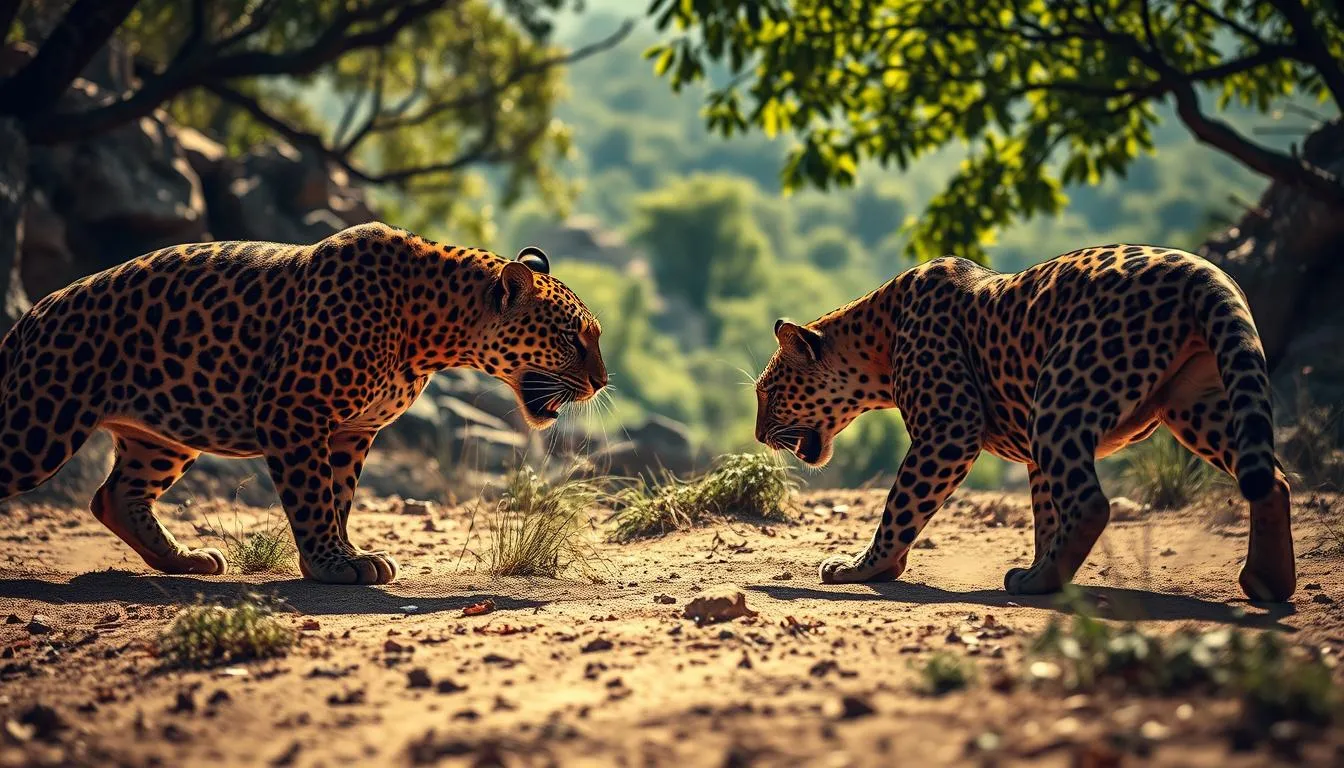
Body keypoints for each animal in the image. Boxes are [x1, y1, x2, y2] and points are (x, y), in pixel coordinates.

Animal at [0, 221, 607, 585]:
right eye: (574, 337)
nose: (602, 382)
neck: (432, 328)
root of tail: (29, 314)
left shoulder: (351, 431)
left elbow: (337, 495)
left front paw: (340, 556)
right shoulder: (293, 410)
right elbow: (312, 495)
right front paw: (331, 562)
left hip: (164, 434)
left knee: (114, 496)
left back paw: (184, 559)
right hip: (38, 427)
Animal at [754, 244, 1295, 602]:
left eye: (769, 393)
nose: (758, 435)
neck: (876, 339)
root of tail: (1202, 272)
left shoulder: (949, 430)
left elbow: (901, 505)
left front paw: (863, 568)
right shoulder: (1031, 455)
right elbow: (1045, 514)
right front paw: (1040, 557)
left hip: (1064, 396)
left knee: (1091, 502)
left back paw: (1040, 584)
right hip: (1198, 406)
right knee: (1274, 479)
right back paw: (1268, 582)